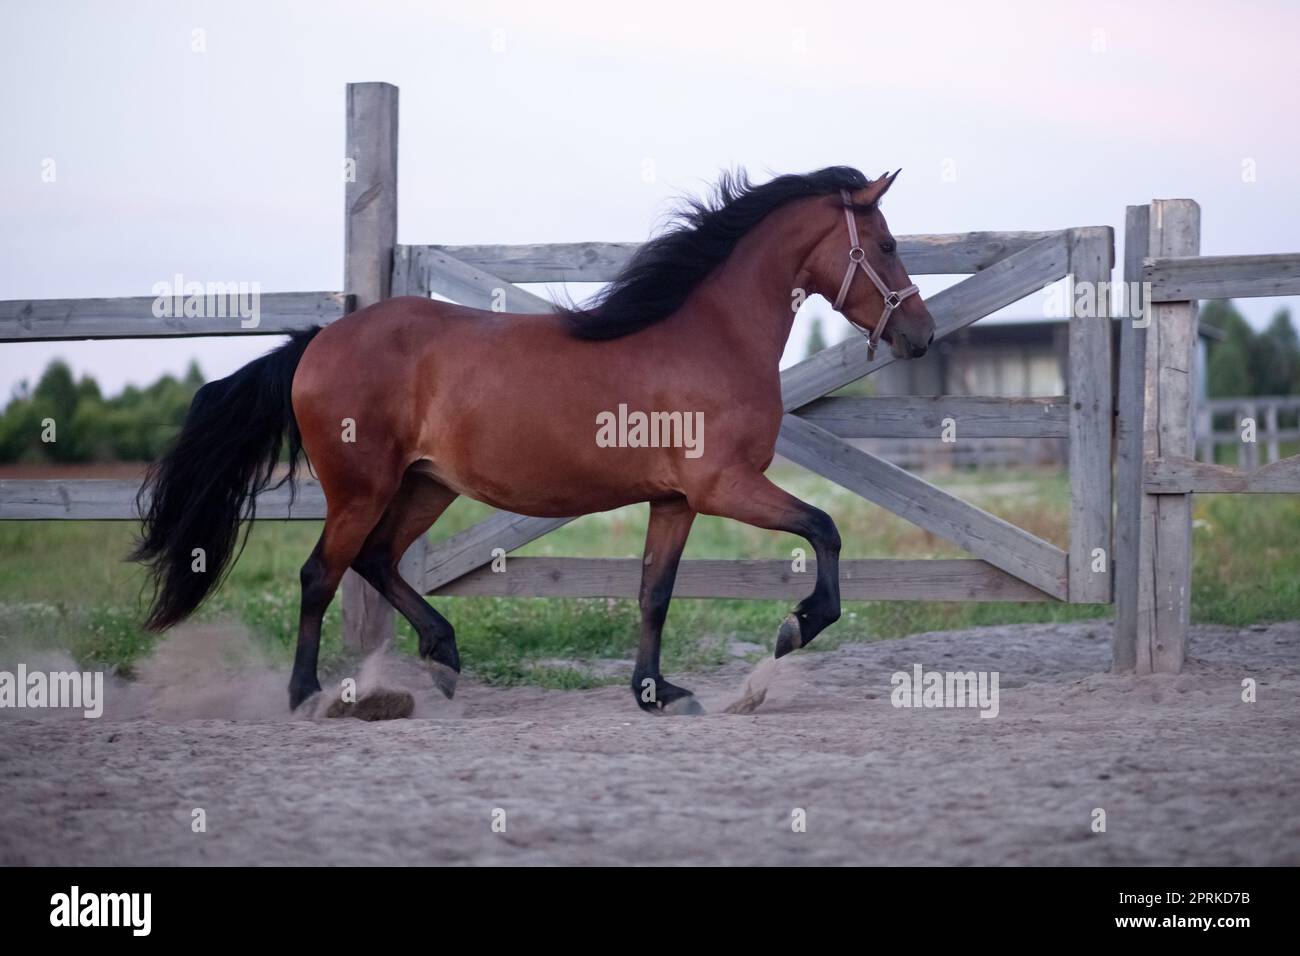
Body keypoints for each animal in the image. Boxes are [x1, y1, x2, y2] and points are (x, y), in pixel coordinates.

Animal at [132, 166, 935, 714]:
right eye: (888, 244)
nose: (921, 335)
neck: (710, 336)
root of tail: (319, 341)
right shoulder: (723, 487)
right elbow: (825, 528)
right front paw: (796, 628)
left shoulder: (676, 501)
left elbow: (655, 592)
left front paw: (656, 691)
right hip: (361, 488)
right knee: (319, 576)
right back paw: (310, 696)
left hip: (425, 485)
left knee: (376, 560)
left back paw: (443, 657)